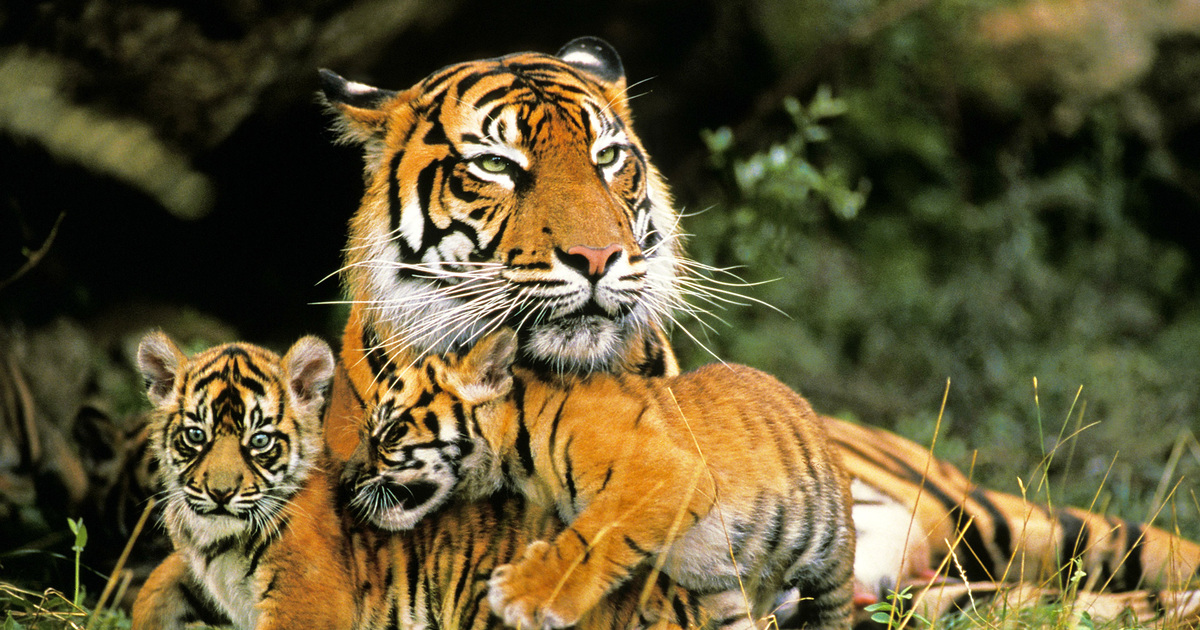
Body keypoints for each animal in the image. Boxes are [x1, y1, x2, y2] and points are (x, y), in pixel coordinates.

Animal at [131, 332, 700, 630]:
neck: (218, 540)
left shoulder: (305, 608)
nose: (221, 493)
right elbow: (157, 583)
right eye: (195, 436)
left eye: (261, 441)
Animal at [342, 328, 855, 630]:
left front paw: (523, 593)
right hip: (728, 598)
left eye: (388, 432)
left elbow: (591, 538)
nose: (346, 483)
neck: (516, 456)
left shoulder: (663, 474)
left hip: (829, 567)